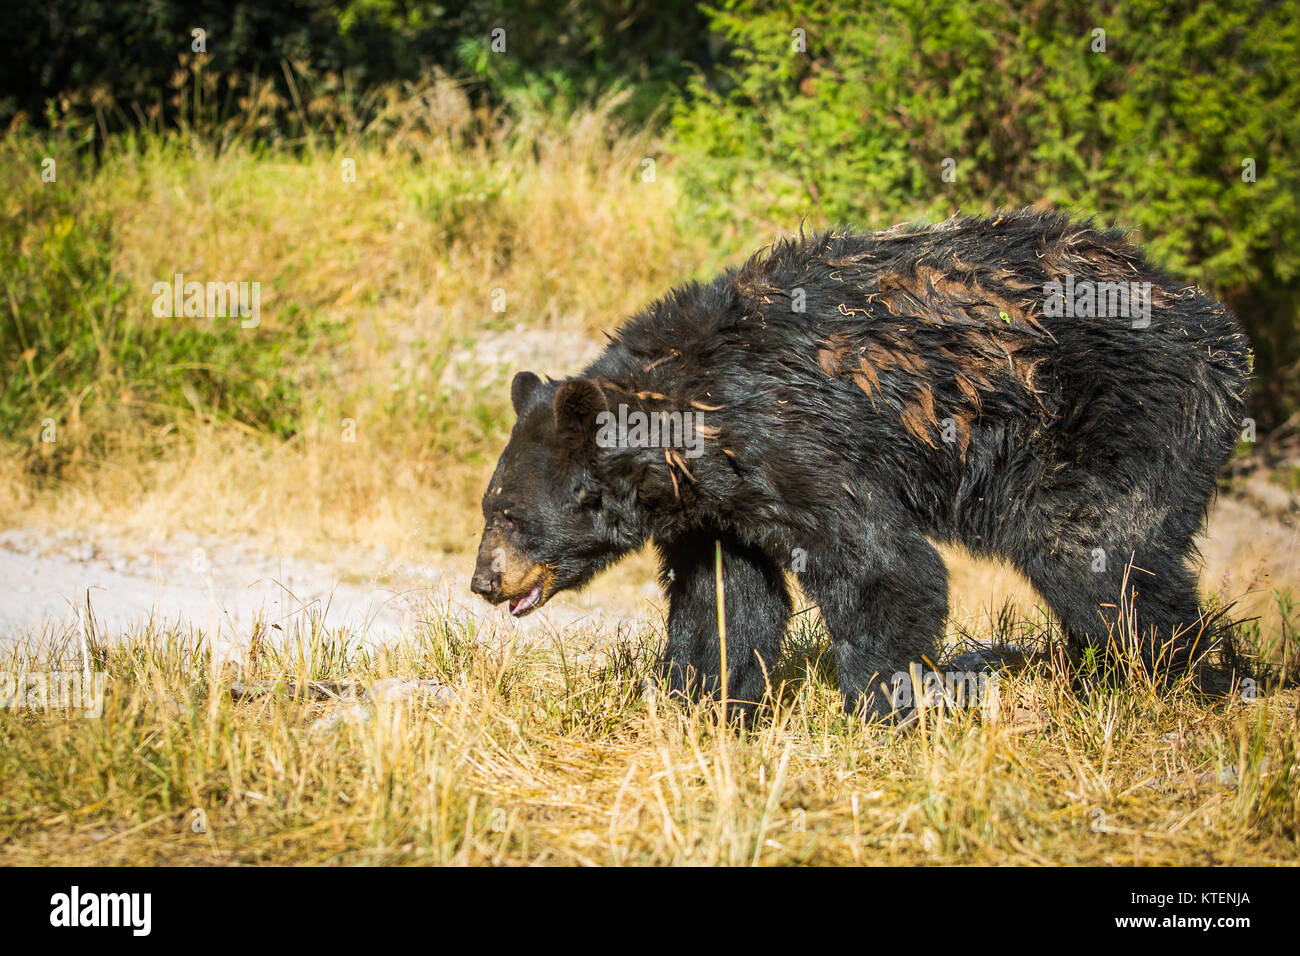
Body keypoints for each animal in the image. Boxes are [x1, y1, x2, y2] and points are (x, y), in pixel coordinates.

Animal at [470, 210, 1252, 721]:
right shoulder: (721, 503)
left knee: (1095, 552)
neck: (692, 422)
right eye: (490, 508)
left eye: (509, 513)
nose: (483, 581)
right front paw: (702, 698)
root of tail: (1219, 330)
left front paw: (882, 702)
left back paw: (1172, 677)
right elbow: (727, 594)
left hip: (1114, 419)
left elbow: (881, 565)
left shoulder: (797, 441)